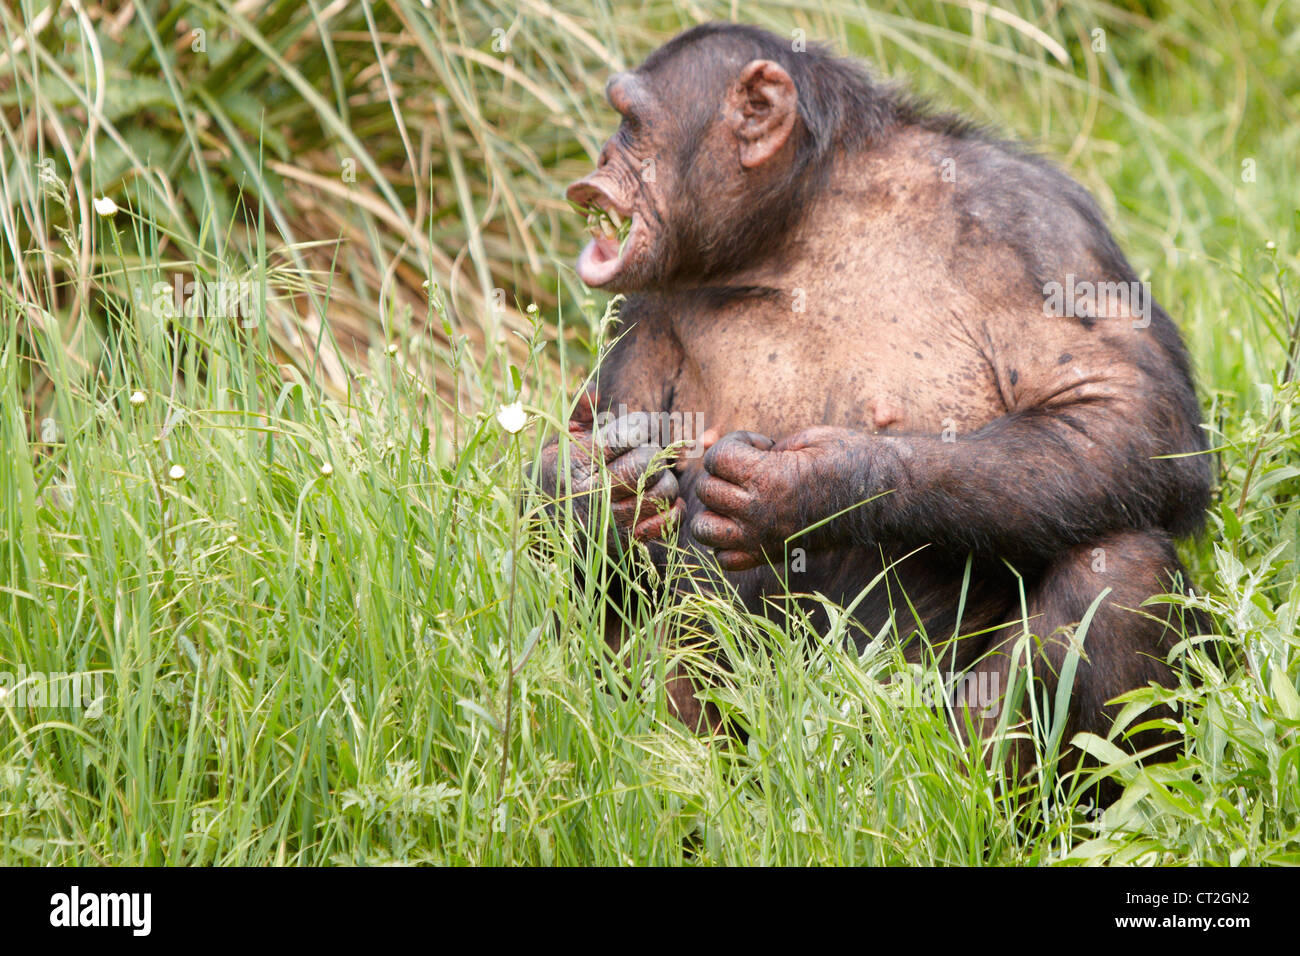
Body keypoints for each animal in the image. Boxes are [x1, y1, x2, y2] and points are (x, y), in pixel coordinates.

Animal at [534, 22, 1211, 792]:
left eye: (631, 123)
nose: (601, 154)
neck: (803, 225)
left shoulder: (1039, 225)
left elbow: (1120, 405)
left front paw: (806, 487)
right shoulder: (641, 312)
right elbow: (613, 448)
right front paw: (597, 484)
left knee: (1121, 571)